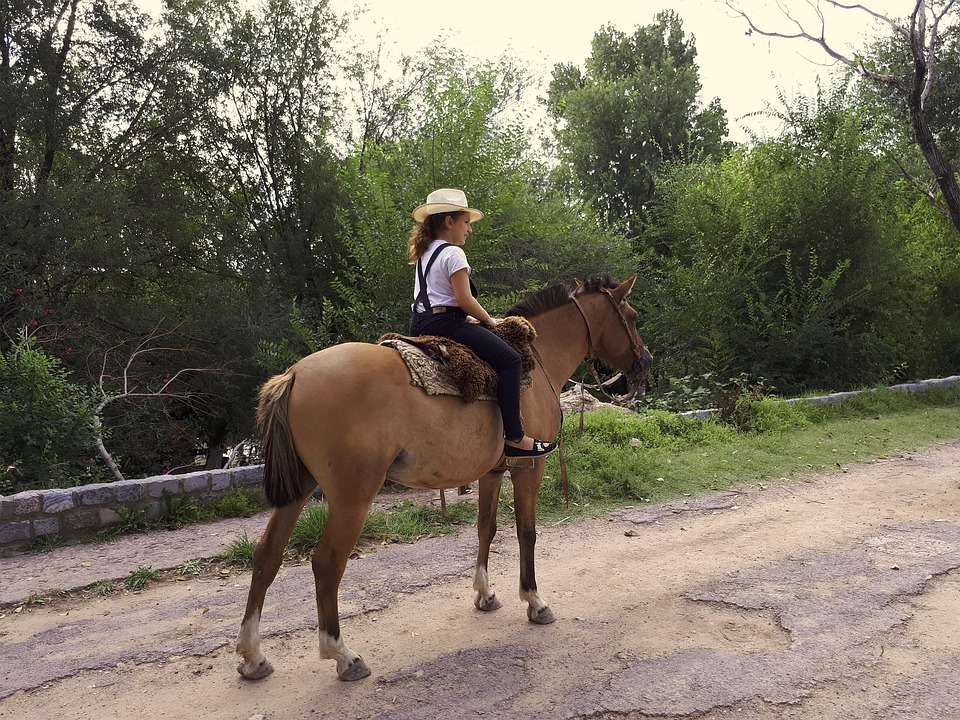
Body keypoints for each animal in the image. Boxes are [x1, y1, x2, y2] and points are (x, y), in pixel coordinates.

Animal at [236, 275, 652, 682]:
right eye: (632, 317)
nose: (645, 362)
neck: (540, 359)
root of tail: (294, 374)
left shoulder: (493, 472)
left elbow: (486, 528)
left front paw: (485, 595)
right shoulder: (529, 468)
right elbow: (526, 532)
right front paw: (534, 601)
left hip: (299, 490)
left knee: (267, 555)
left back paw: (253, 657)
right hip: (352, 496)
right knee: (326, 562)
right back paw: (343, 656)